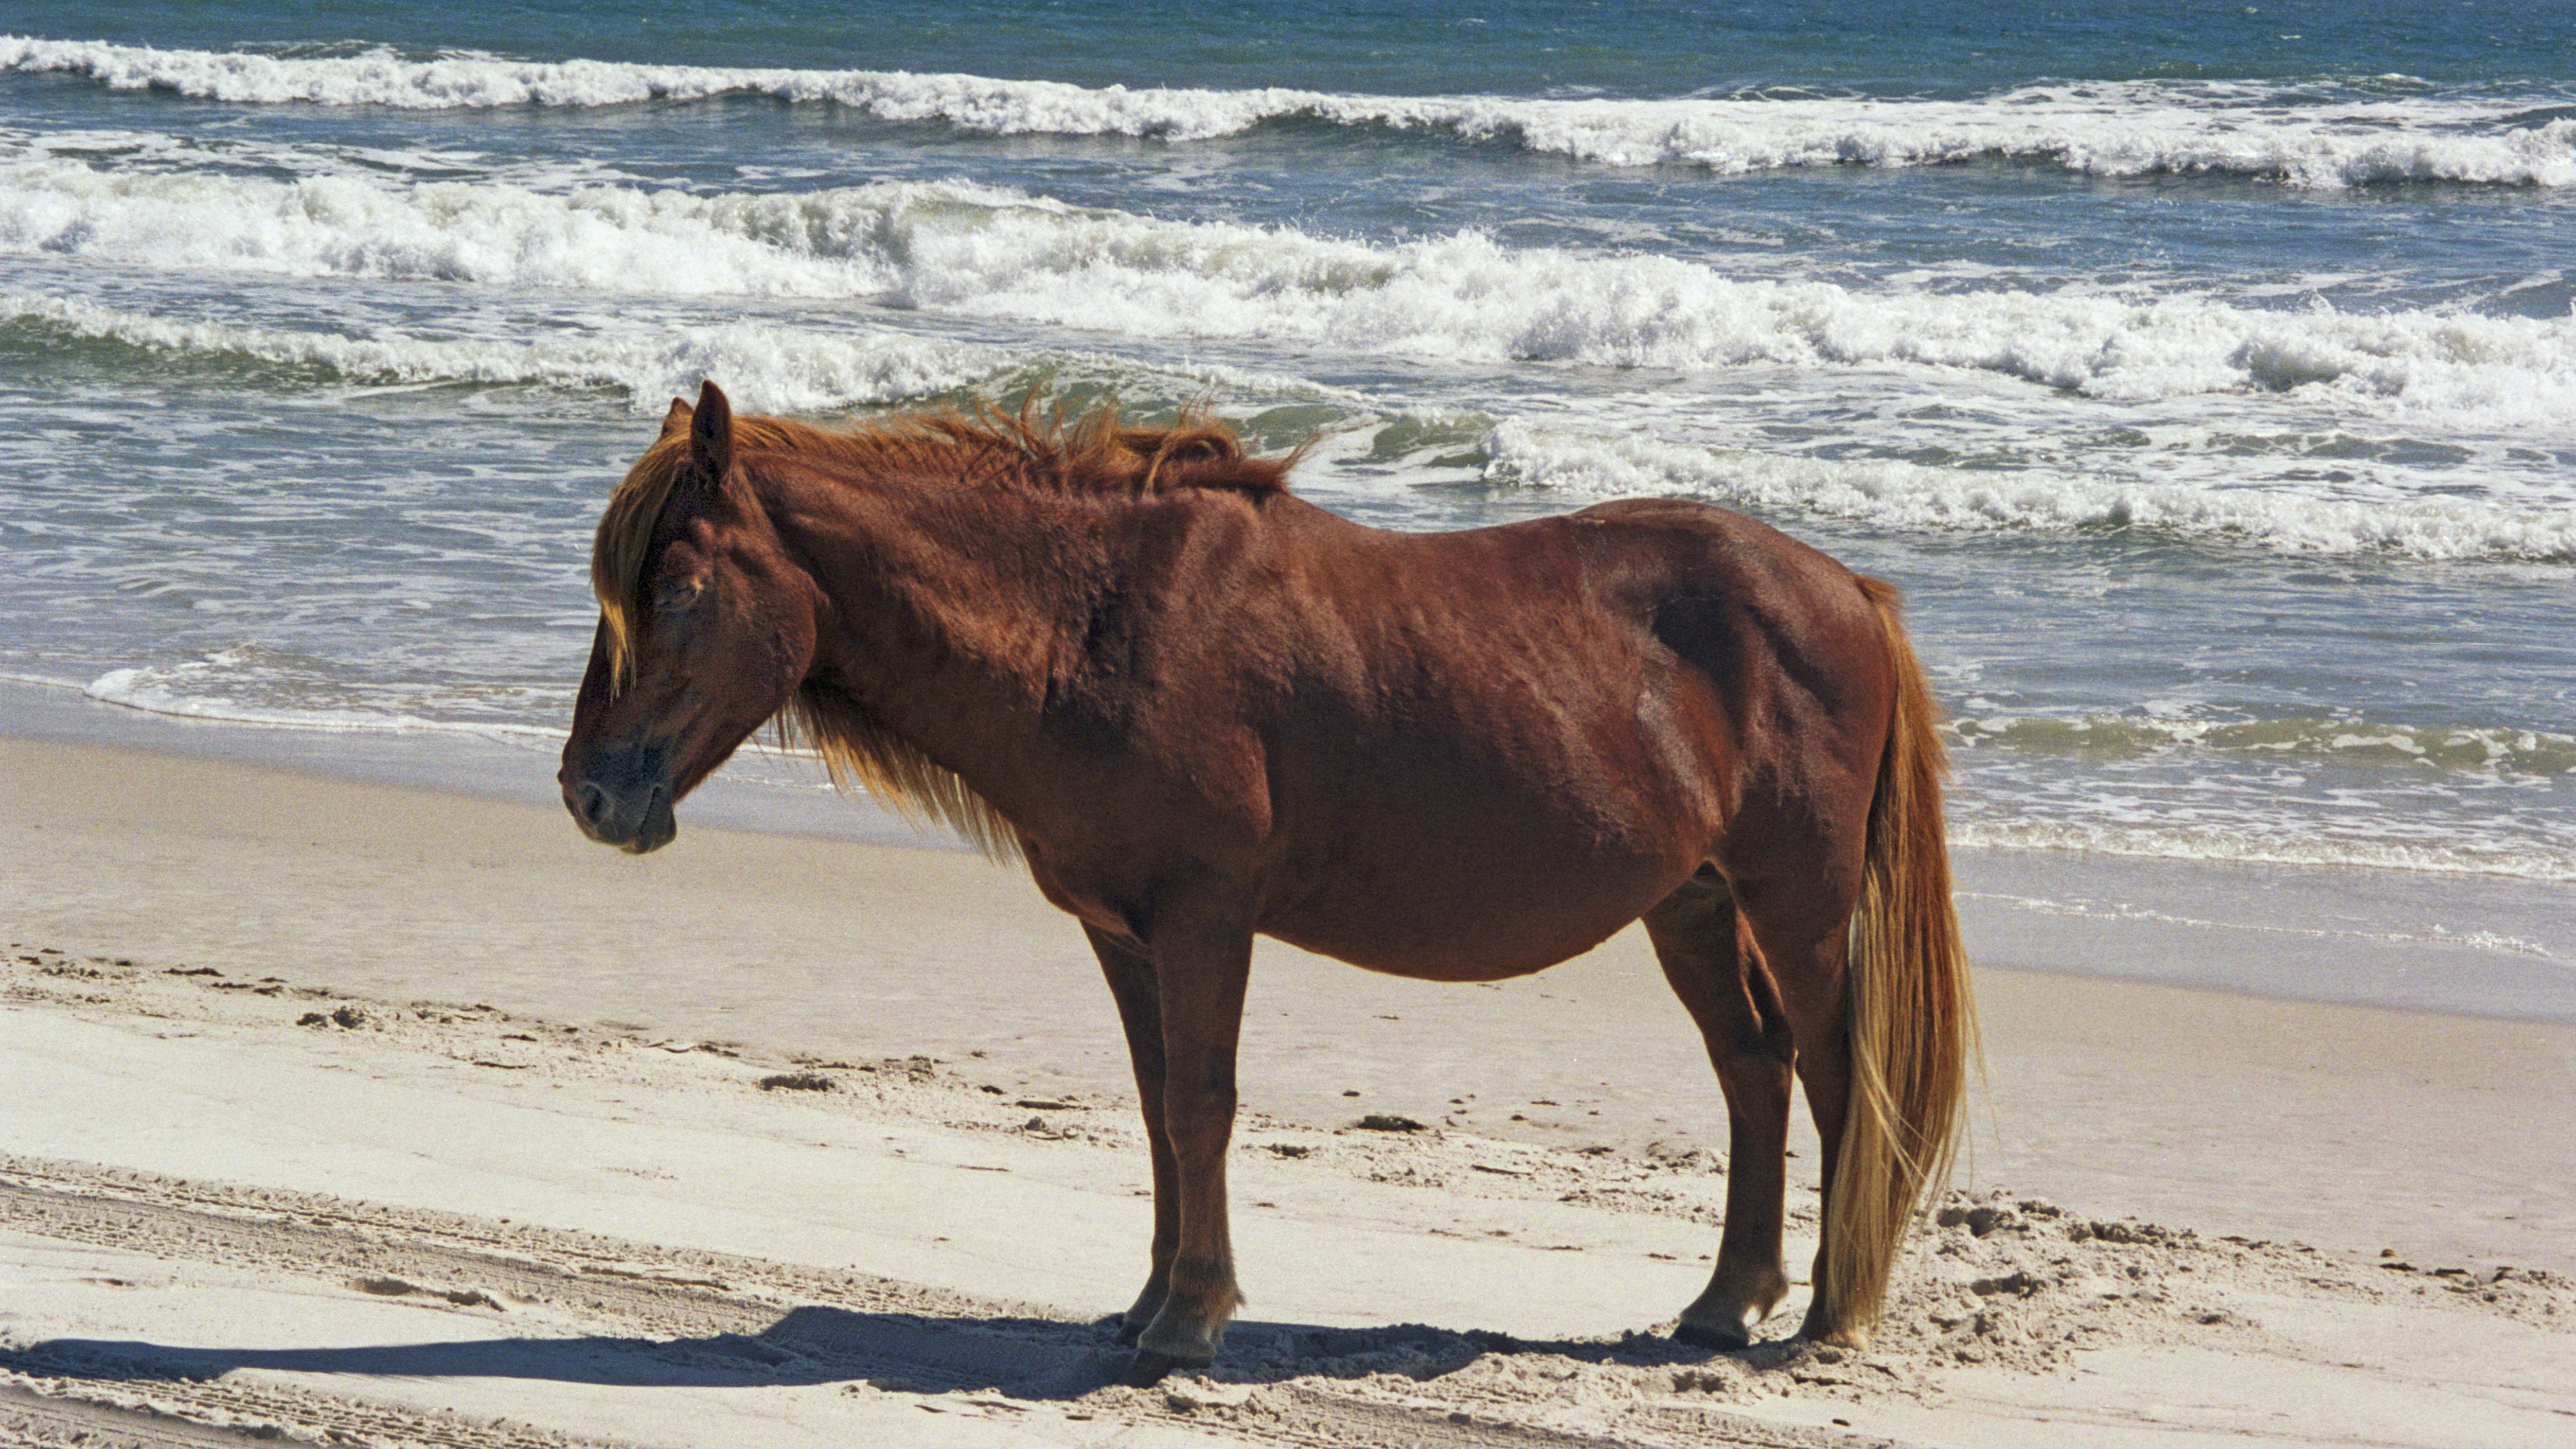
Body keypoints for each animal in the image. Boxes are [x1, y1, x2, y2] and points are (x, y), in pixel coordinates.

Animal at [560, 380, 1976, 1379]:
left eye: (678, 585)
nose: (589, 794)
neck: (1097, 622)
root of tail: (1845, 591)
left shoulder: (1204, 918)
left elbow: (1200, 1105)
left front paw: (1190, 1318)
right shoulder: (1124, 932)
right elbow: (1153, 1111)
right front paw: (1145, 1303)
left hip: (1795, 905)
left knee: (1831, 1074)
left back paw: (1831, 1316)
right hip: (1690, 903)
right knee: (1751, 1070)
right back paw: (1726, 1302)